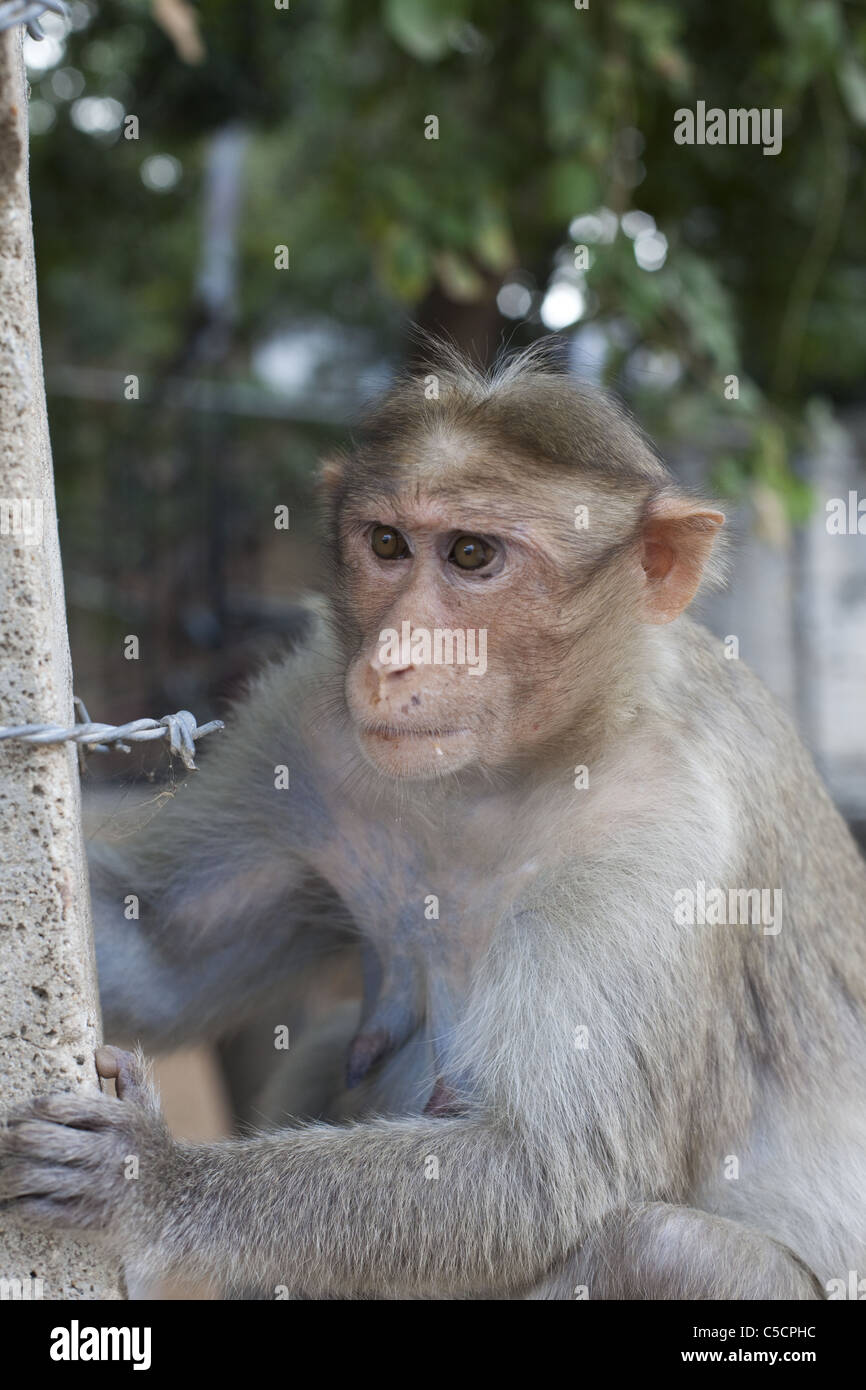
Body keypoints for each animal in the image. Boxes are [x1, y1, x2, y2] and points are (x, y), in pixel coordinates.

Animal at [2, 343, 865, 1300]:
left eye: (472, 553)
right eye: (387, 544)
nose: (394, 658)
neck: (508, 770)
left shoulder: (669, 828)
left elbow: (543, 1170)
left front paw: (149, 1179)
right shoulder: (307, 720)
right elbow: (160, 952)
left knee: (662, 1248)